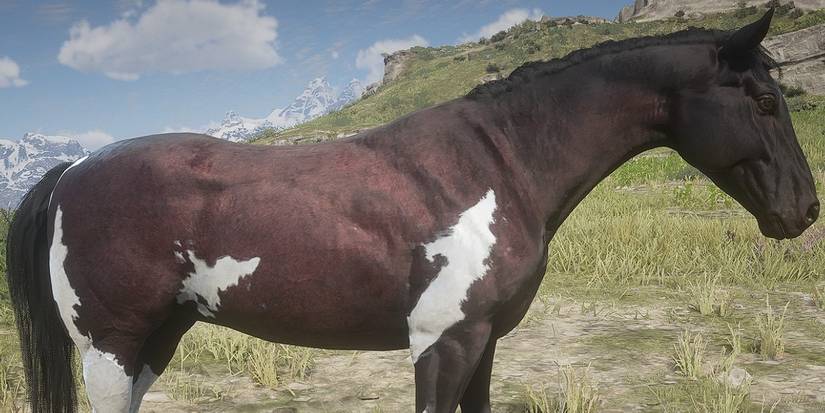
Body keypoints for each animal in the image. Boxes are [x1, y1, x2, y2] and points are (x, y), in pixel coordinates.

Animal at [6, 9, 819, 413]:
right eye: (760, 98)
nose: (804, 211)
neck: (498, 164)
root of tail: (75, 168)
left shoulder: (482, 342)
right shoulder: (441, 343)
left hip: (155, 340)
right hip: (111, 346)